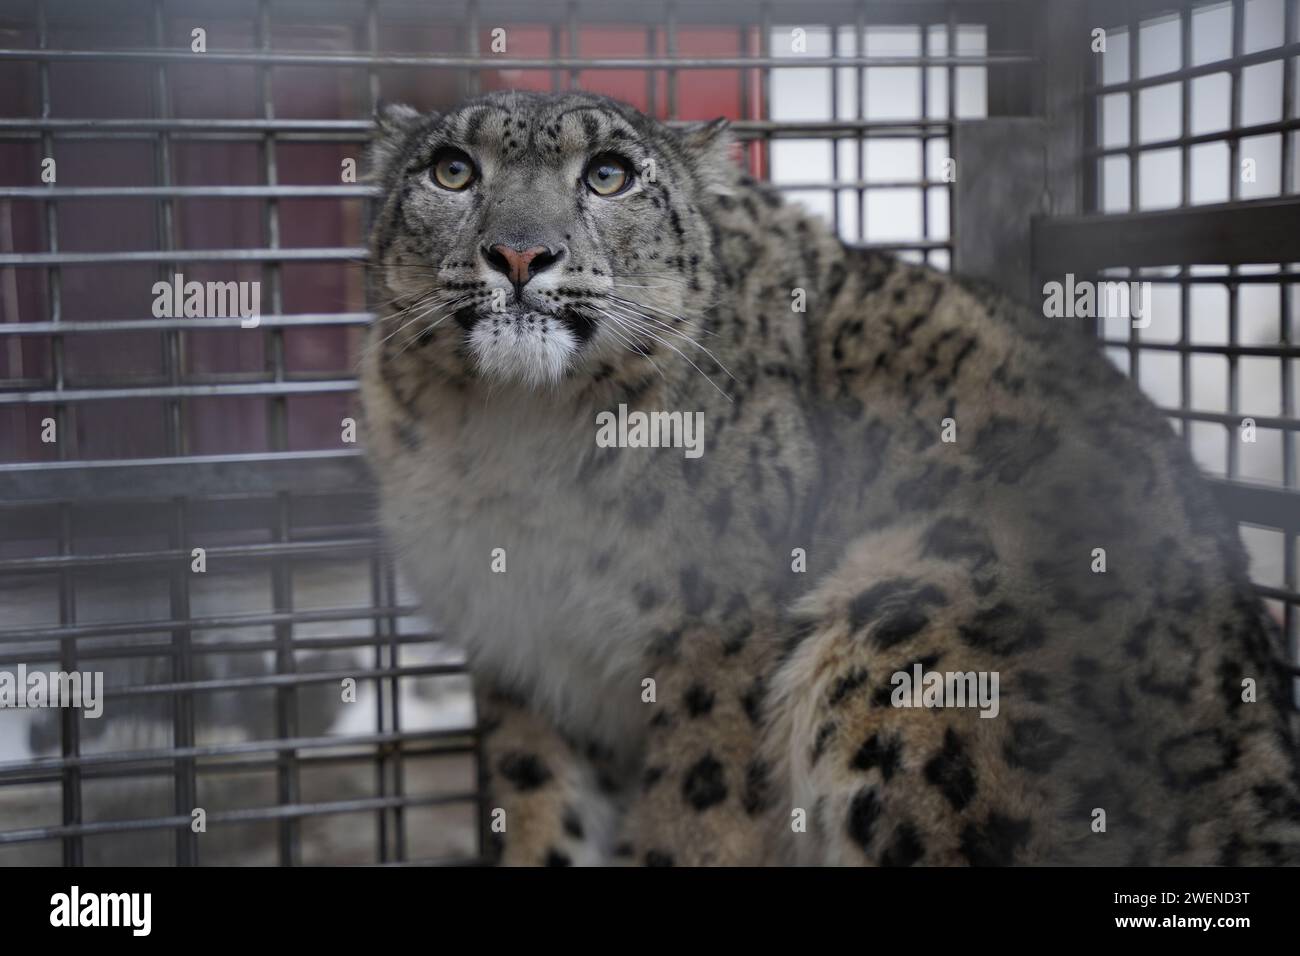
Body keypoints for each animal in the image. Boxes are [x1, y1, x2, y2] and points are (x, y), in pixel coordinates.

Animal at [359, 89, 1300, 866]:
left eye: (609, 173)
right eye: (452, 169)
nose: (520, 253)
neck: (512, 447)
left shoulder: (711, 634)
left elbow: (700, 811)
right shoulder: (520, 654)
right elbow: (543, 808)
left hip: (908, 627)